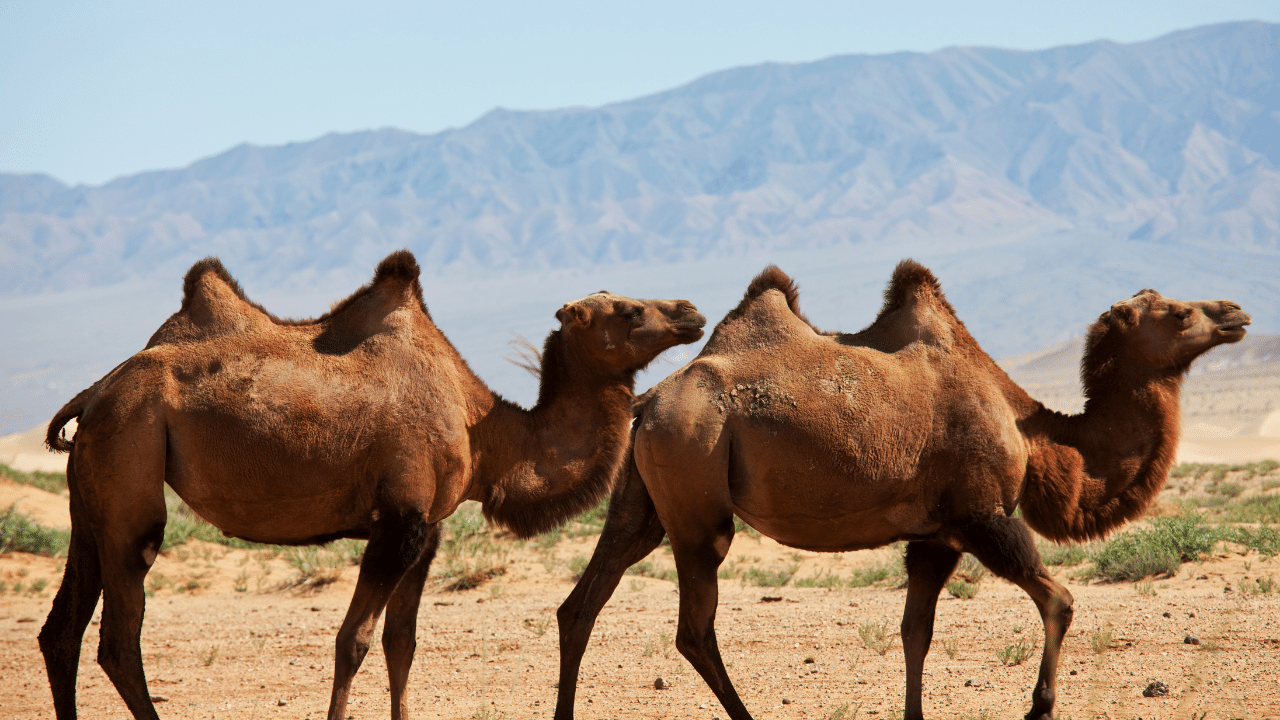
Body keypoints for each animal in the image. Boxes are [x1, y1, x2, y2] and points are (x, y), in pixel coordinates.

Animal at [37, 250, 705, 720]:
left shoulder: (428, 529)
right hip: (132, 457)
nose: (691, 311)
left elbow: (399, 642)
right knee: (118, 637)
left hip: (91, 495)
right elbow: (352, 640)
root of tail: (95, 392)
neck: (482, 431)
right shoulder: (398, 521)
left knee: (61, 632)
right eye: (629, 311)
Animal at [554, 260, 1250, 720]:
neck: (1028, 428)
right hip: (697, 492)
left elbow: (916, 632)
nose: (1236, 312)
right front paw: (1039, 707)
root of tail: (648, 401)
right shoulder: (981, 515)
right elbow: (1059, 599)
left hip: (645, 499)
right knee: (694, 628)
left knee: (582, 603)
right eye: (1179, 313)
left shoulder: (934, 536)